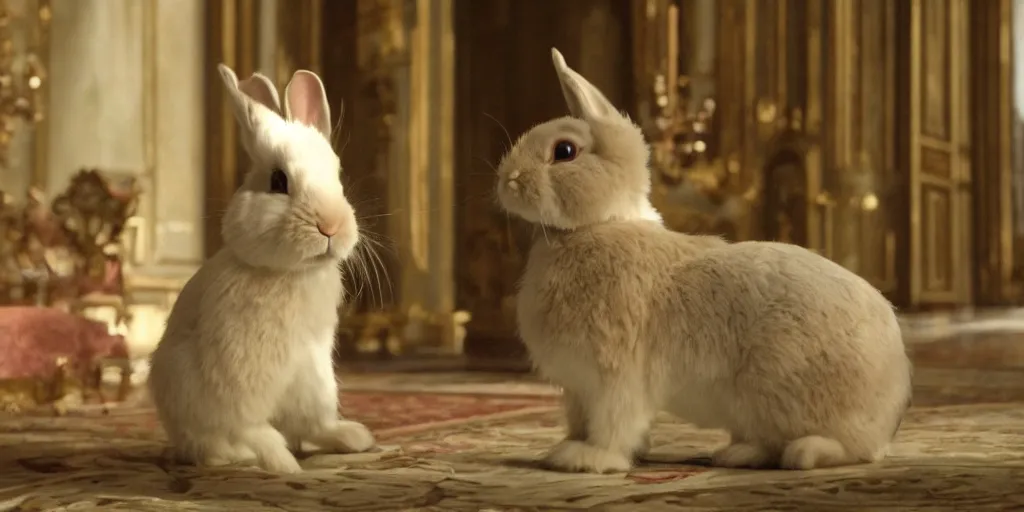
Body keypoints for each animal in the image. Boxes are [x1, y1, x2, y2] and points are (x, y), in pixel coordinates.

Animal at [147, 64, 375, 474]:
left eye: (338, 176)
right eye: (278, 181)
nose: (331, 226)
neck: (290, 271)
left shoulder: (311, 368)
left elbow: (312, 421)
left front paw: (343, 439)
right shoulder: (239, 372)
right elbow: (247, 423)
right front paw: (281, 462)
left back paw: (350, 437)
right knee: (221, 438)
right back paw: (253, 457)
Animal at [495, 48, 912, 474]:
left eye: (564, 151)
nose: (506, 180)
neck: (598, 224)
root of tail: (893, 401)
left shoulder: (614, 376)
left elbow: (614, 424)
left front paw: (589, 459)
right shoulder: (579, 389)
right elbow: (582, 423)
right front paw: (565, 449)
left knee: (853, 450)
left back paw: (804, 452)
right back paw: (736, 453)